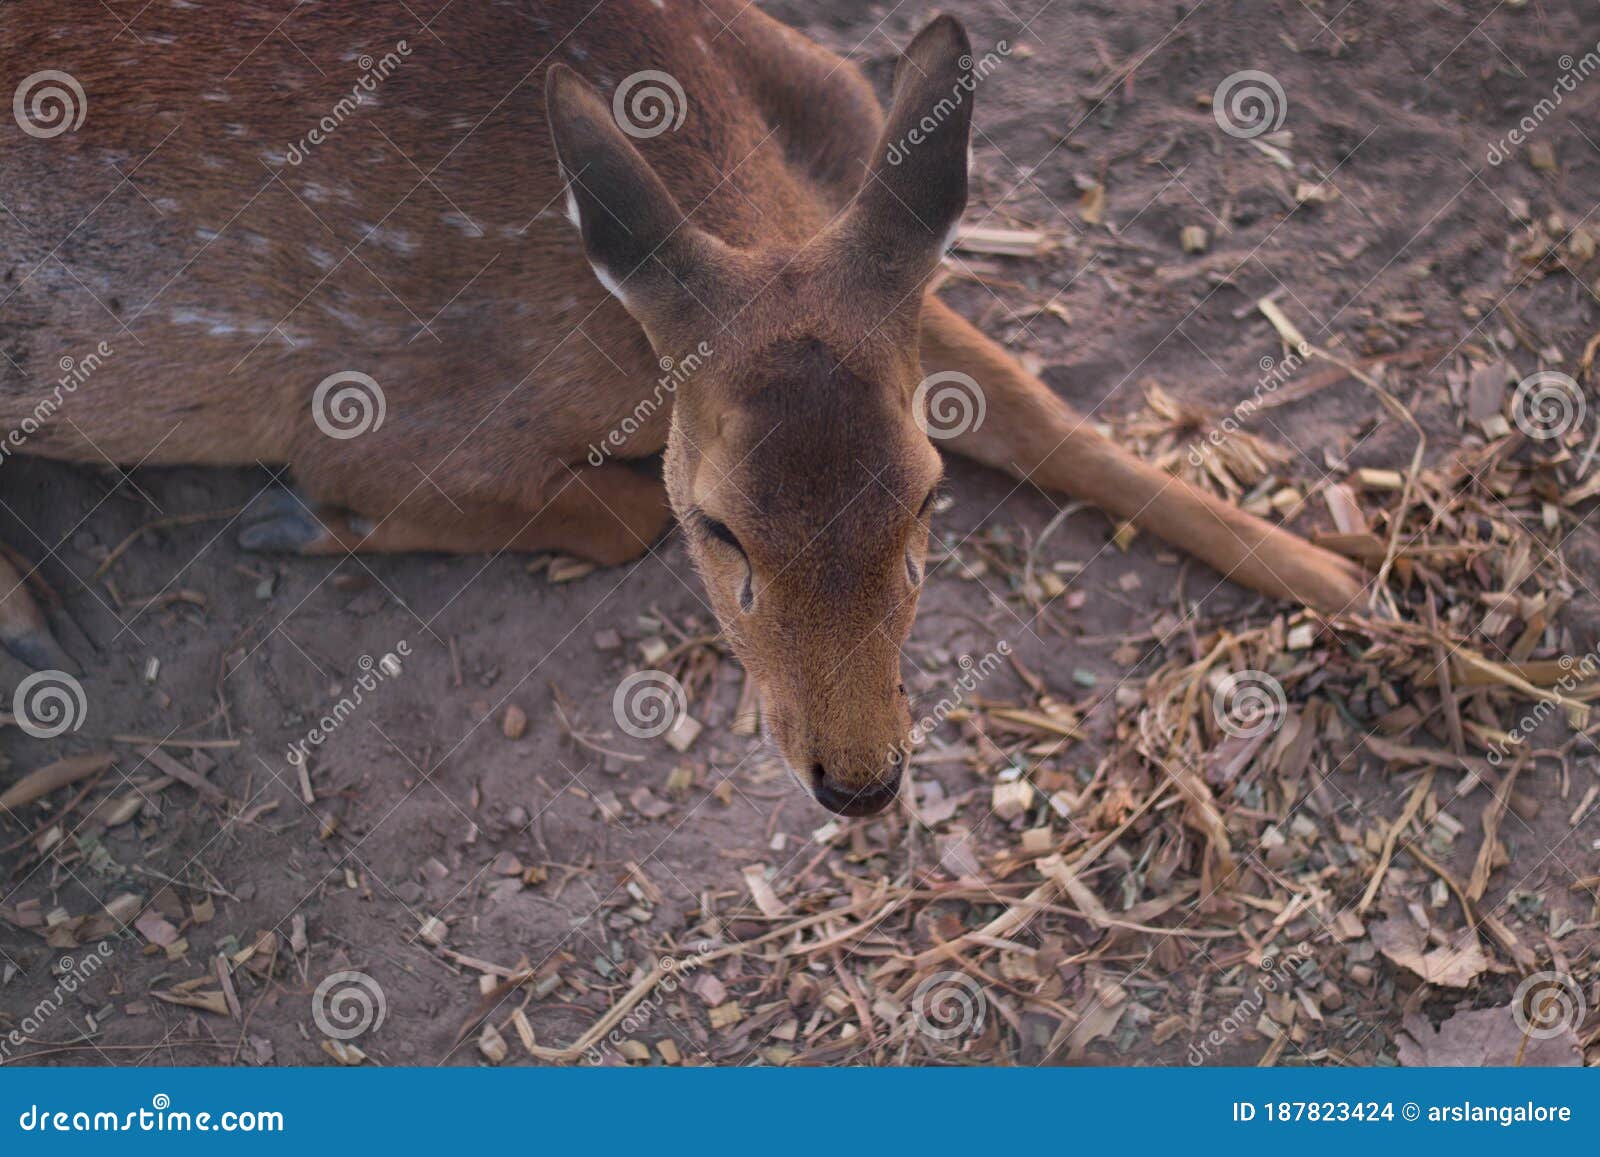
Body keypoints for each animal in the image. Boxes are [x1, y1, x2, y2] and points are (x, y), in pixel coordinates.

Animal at [0, 1, 1368, 816]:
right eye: (722, 529)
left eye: (925, 501)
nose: (858, 780)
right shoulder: (376, 417)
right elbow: (616, 518)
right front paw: (289, 520)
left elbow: (1038, 406)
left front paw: (1337, 574)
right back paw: (36, 617)